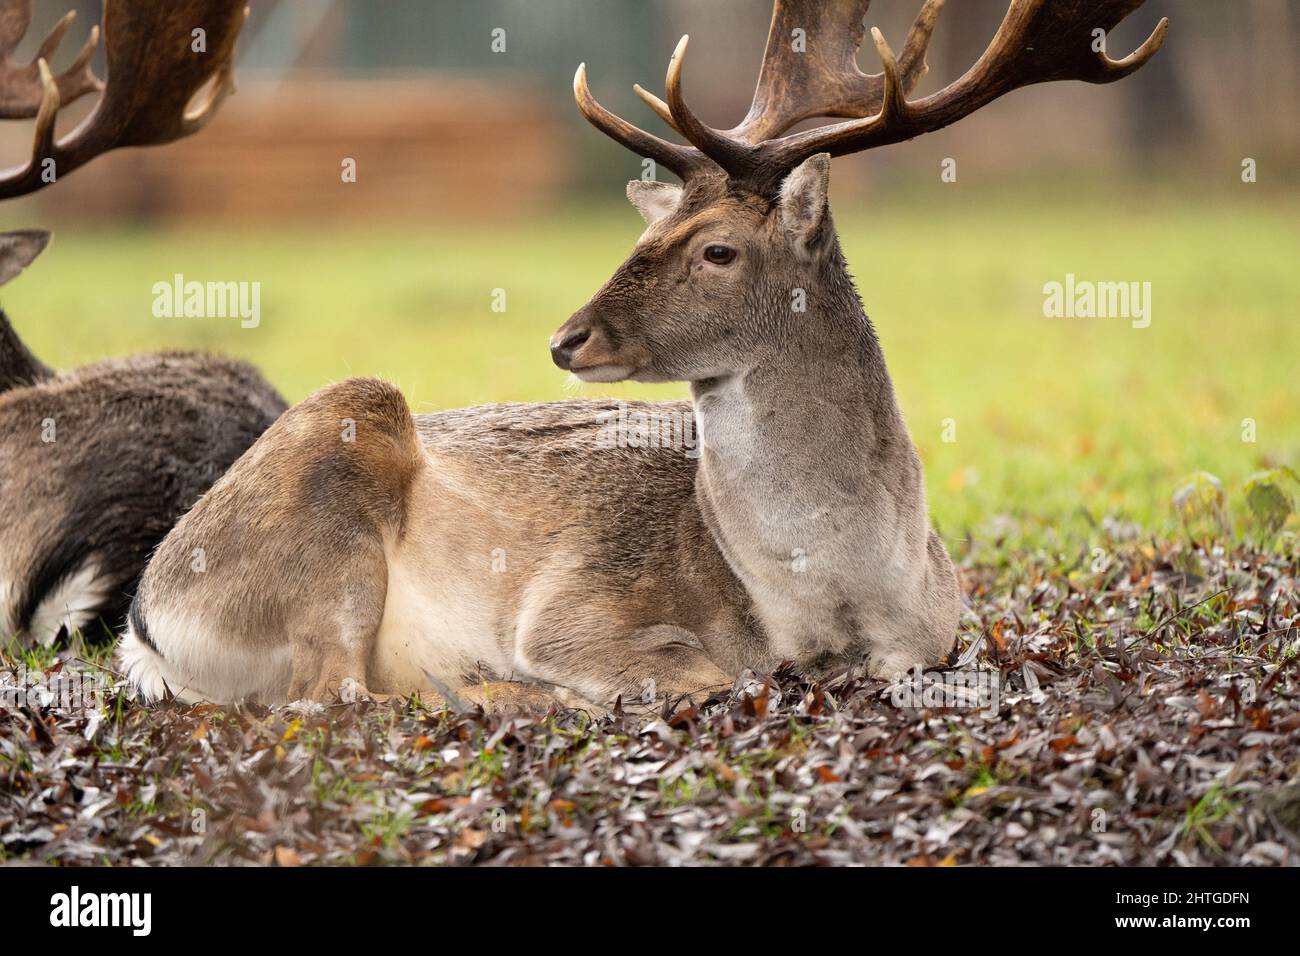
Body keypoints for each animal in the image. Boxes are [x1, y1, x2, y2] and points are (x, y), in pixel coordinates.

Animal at [120, 0, 1167, 710]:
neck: (834, 595)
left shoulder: (938, 634)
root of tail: (146, 621)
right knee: (333, 691)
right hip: (334, 481)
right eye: (651, 234)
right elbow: (710, 677)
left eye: (717, 249)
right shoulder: (576, 610)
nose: (564, 337)